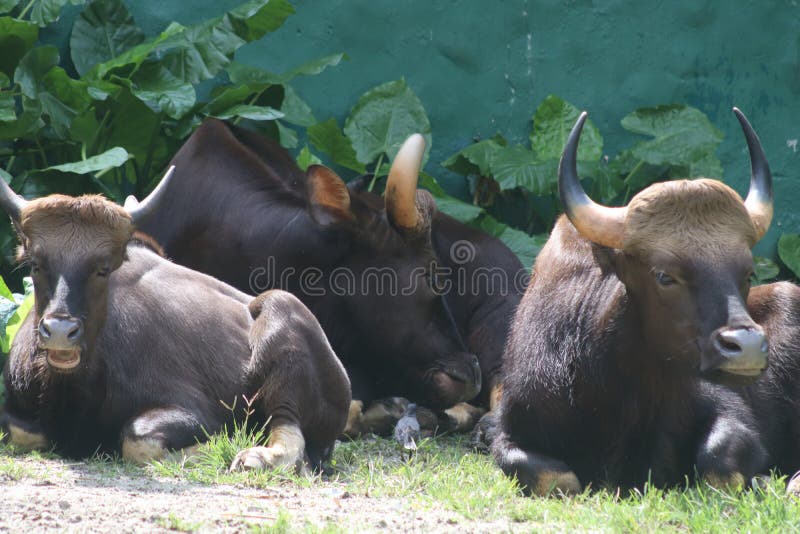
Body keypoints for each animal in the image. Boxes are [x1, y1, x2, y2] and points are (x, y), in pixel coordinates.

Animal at [0, 168, 351, 472]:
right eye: (35, 263)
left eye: (103, 267)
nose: (61, 331)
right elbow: (18, 430)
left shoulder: (193, 412)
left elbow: (137, 440)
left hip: (283, 320)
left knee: (289, 431)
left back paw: (256, 457)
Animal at [491, 108, 773, 495]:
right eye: (664, 275)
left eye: (747, 273)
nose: (746, 347)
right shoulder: (512, 429)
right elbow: (558, 478)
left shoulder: (731, 413)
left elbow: (721, 467)